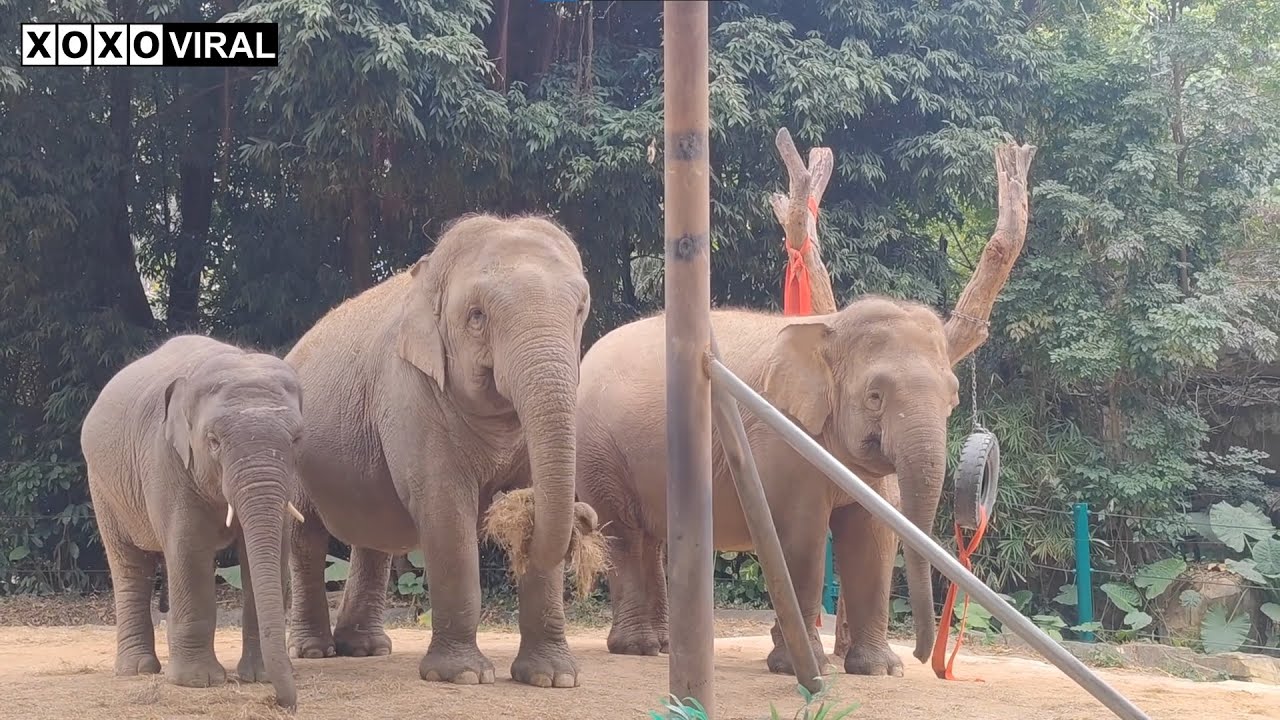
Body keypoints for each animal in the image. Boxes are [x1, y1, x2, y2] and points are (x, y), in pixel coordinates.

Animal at [81, 334, 304, 709]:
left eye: (297, 440)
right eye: (213, 441)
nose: (280, 701)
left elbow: (268, 551)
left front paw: (257, 678)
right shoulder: (165, 458)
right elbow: (189, 546)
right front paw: (198, 682)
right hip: (103, 487)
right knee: (130, 565)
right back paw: (138, 670)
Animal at [283, 213, 591, 689]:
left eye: (579, 310)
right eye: (477, 316)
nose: (586, 519)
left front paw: (553, 679)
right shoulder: (409, 389)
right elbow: (444, 510)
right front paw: (463, 676)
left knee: (373, 539)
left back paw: (366, 648)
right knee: (307, 540)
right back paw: (315, 650)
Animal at [575, 295, 959, 677]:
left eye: (953, 399)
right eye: (875, 396)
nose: (922, 658)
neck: (831, 326)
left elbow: (873, 539)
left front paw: (881, 670)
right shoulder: (780, 438)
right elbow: (802, 537)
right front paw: (800, 667)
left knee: (650, 541)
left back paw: (662, 645)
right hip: (600, 454)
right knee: (624, 536)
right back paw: (636, 647)